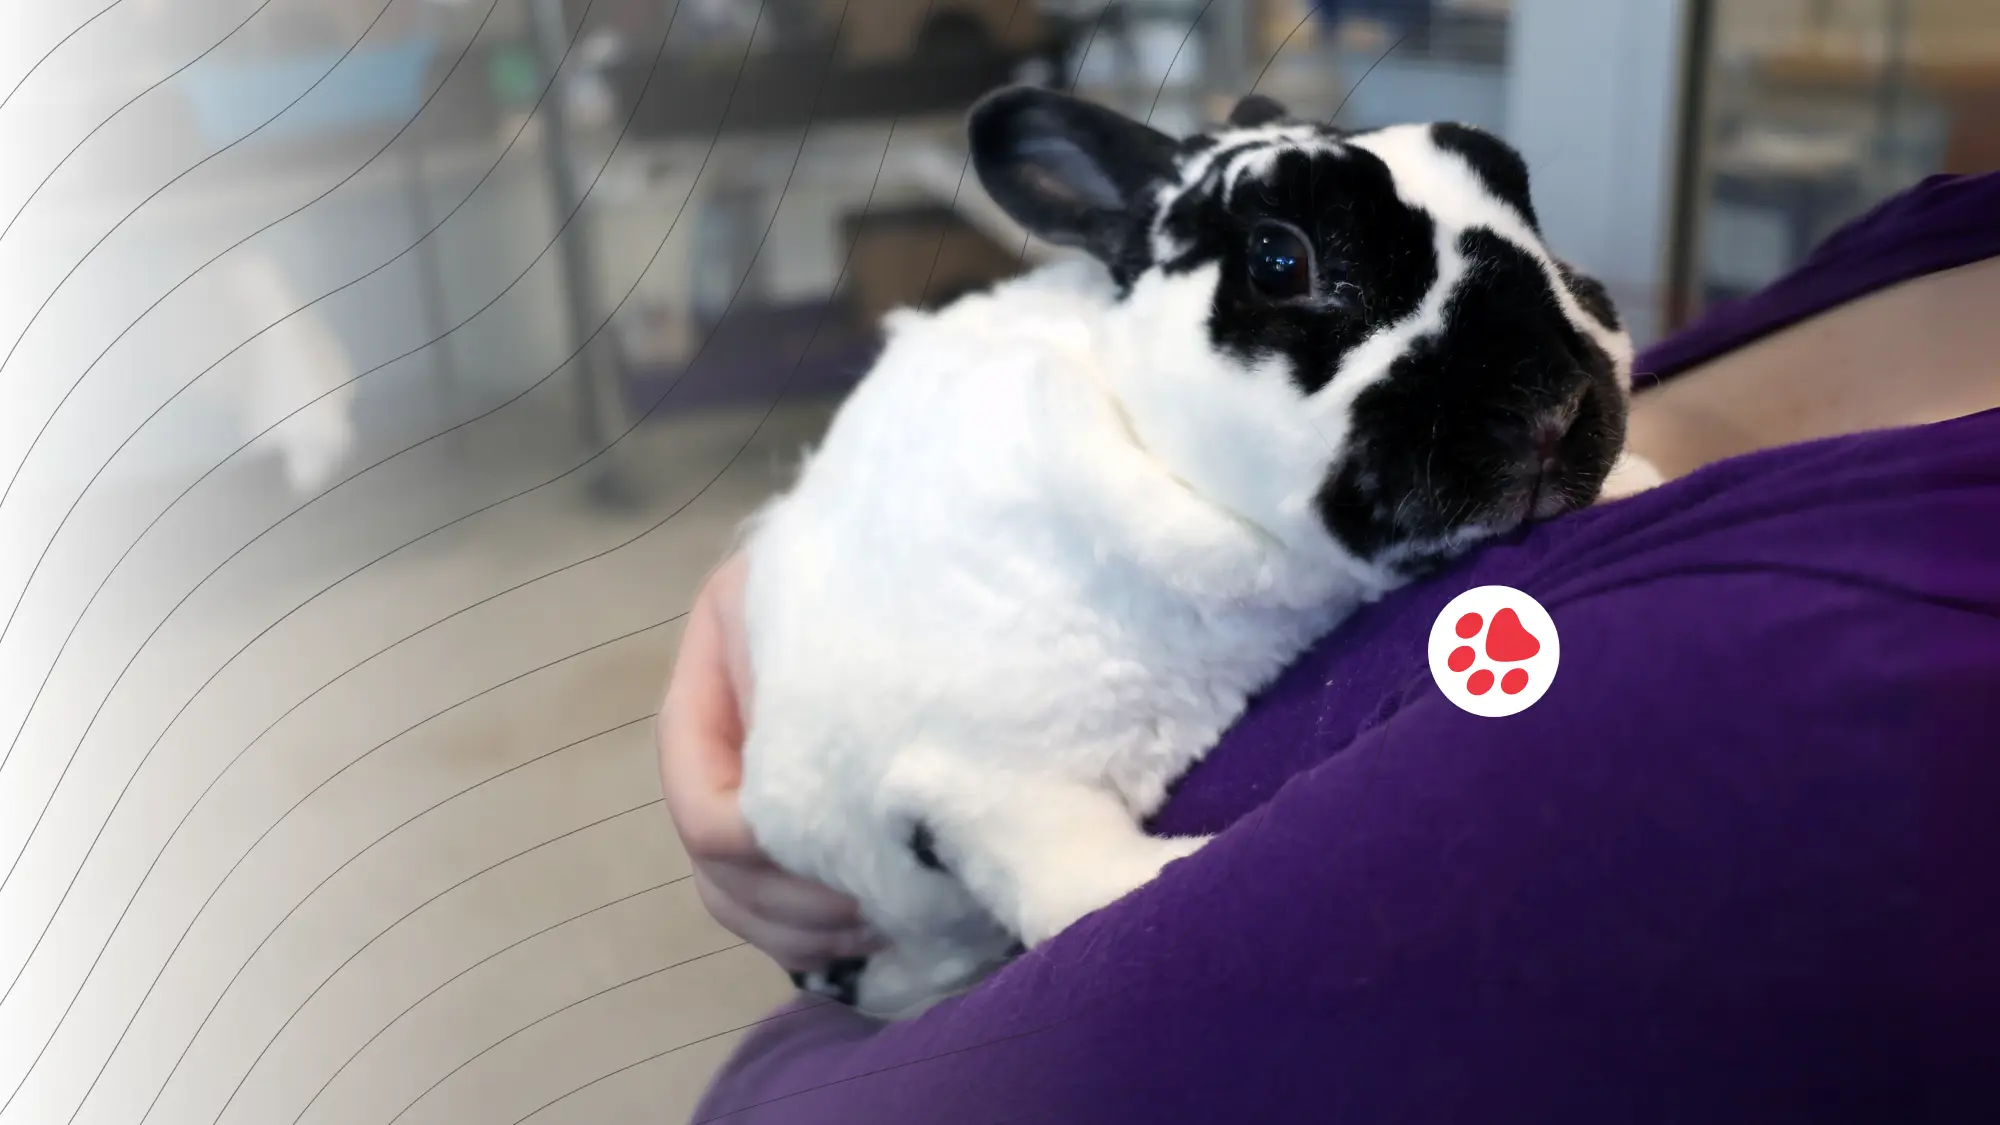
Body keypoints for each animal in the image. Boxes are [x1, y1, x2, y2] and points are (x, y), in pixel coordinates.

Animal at [731, 86, 1649, 1020]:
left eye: (1523, 201)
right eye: (1279, 261)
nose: (1552, 405)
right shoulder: (982, 780)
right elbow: (1080, 886)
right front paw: (1187, 861)